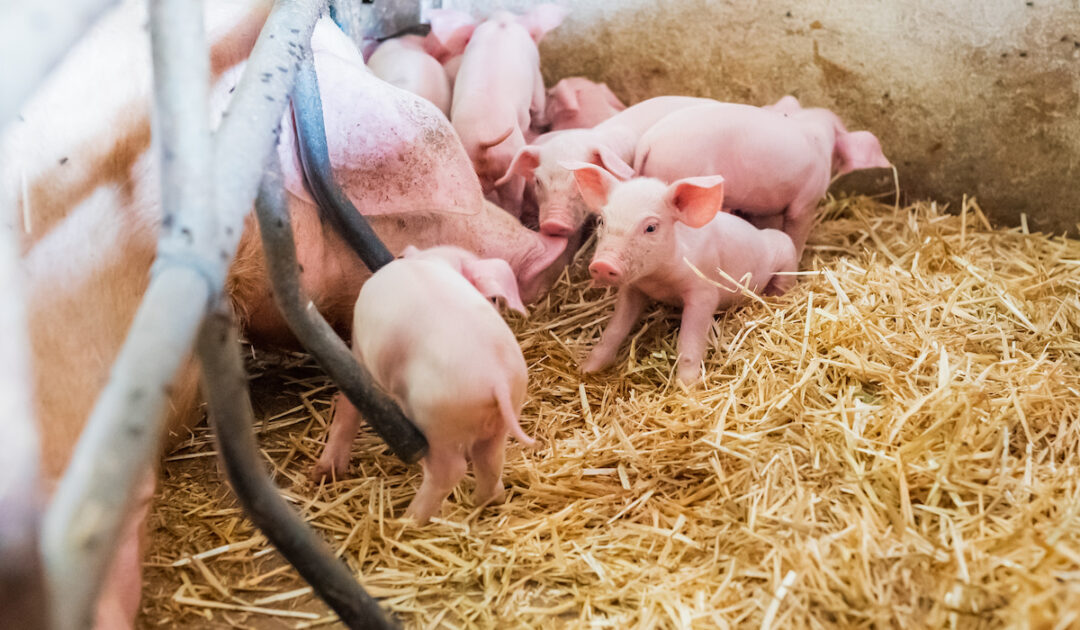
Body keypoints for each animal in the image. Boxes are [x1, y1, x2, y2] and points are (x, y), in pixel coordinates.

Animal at [312, 245, 535, 523]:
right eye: (493, 300)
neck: (433, 259)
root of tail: (497, 380)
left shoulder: (359, 352)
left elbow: (347, 411)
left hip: (436, 422)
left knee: (449, 470)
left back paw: (407, 521)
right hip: (502, 418)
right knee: (490, 460)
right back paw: (484, 503)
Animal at [442, 5, 568, 216]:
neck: (501, 24)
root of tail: (482, 144)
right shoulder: (535, 72)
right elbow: (538, 101)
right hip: (511, 167)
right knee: (513, 201)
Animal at [562, 163, 798, 384]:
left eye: (651, 227)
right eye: (601, 221)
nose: (602, 264)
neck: (658, 281)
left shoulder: (703, 293)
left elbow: (689, 341)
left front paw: (687, 388)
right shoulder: (633, 288)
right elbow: (614, 330)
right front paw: (586, 369)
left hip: (787, 257)